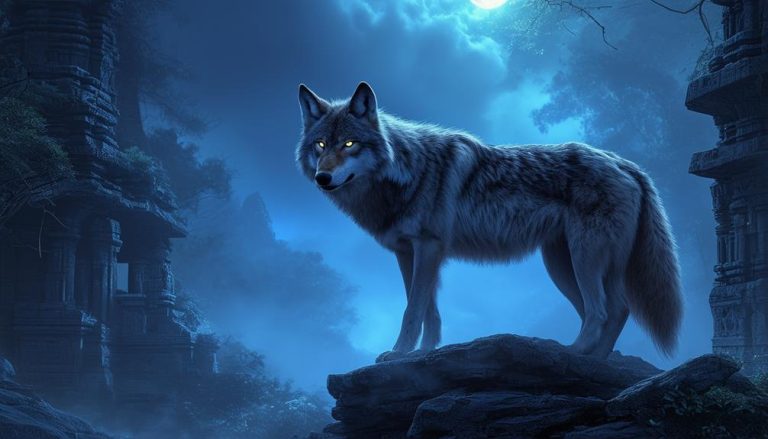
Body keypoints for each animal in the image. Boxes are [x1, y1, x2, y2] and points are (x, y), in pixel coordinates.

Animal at [295, 82, 682, 360]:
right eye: (320, 144)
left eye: (349, 144)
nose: (323, 178)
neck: (406, 169)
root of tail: (625, 163)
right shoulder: (411, 254)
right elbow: (428, 311)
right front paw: (424, 353)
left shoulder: (427, 247)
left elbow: (412, 310)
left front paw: (399, 354)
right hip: (565, 265)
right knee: (616, 309)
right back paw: (597, 359)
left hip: (582, 260)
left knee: (600, 312)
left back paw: (573, 353)